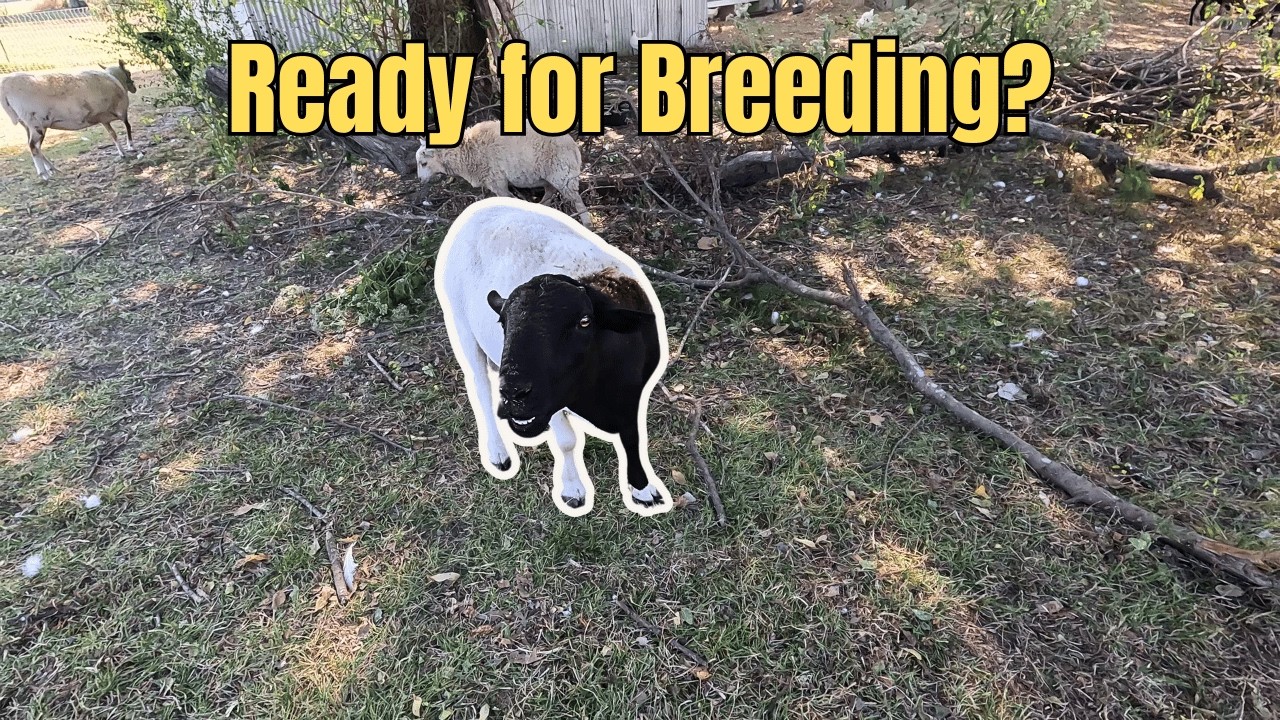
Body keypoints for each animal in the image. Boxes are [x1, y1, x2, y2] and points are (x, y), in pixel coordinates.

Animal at [1, 60, 140, 181]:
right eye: (128, 72)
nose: (134, 89)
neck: (115, 79)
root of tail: (4, 87)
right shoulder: (121, 112)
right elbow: (128, 127)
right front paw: (131, 146)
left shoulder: (103, 119)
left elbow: (113, 135)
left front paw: (122, 153)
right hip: (36, 122)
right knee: (33, 147)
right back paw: (44, 174)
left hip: (27, 124)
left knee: (36, 147)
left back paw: (53, 169)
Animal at [416, 120, 593, 229]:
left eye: (423, 163)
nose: (420, 180)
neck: (465, 152)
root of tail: (574, 146)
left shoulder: (496, 180)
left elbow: (506, 198)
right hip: (550, 176)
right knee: (549, 192)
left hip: (563, 174)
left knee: (576, 200)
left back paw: (587, 223)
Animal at [434, 196, 672, 518]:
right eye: (503, 322)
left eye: (584, 322)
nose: (514, 393)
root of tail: (483, 206)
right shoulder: (553, 397)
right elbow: (568, 441)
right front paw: (572, 490)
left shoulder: (632, 393)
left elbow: (632, 435)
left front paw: (643, 490)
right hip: (460, 324)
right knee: (480, 389)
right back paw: (498, 453)